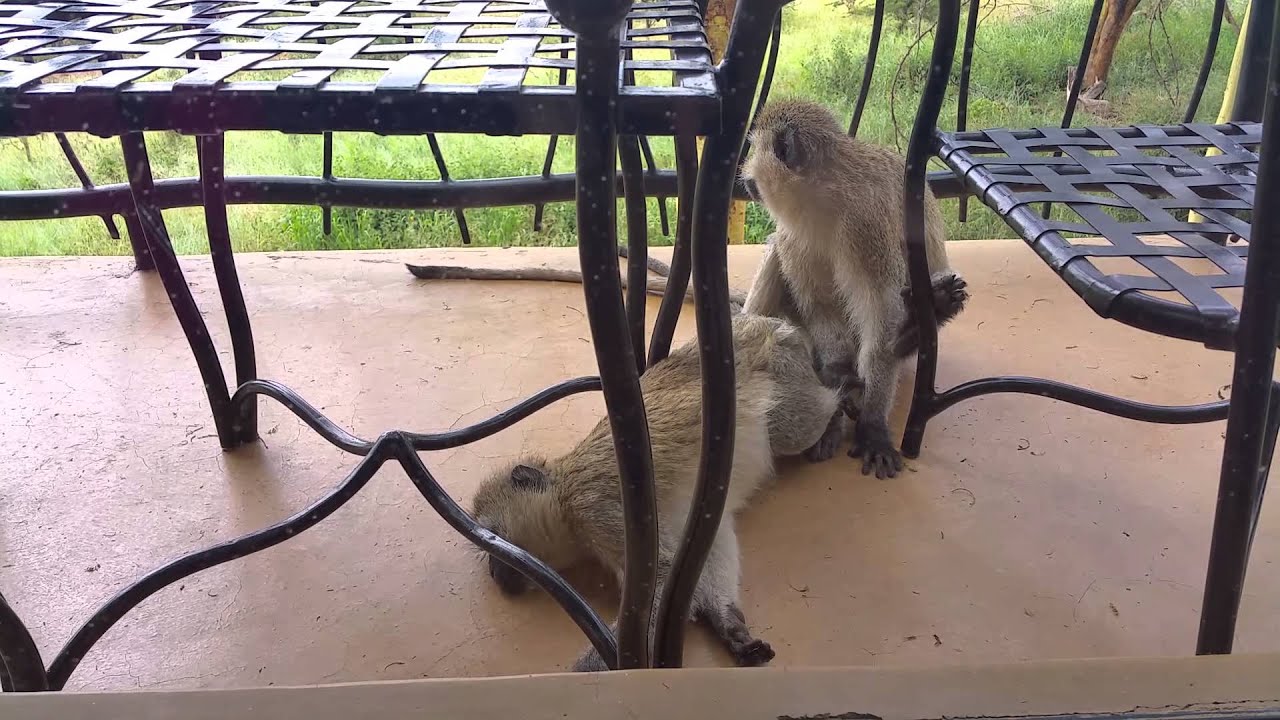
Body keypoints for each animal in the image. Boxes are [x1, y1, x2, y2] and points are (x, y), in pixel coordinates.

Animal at [469, 312, 841, 672]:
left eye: (495, 540)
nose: (494, 573)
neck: (564, 496)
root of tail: (765, 322)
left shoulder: (598, 511)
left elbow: (661, 576)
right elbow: (700, 556)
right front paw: (728, 623)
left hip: (783, 376)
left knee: (796, 425)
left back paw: (837, 415)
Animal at [739, 98, 968, 480]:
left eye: (756, 148)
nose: (745, 174)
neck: (826, 196)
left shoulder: (865, 226)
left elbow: (880, 312)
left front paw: (873, 424)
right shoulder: (794, 237)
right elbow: (820, 306)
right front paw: (836, 375)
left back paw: (921, 325)